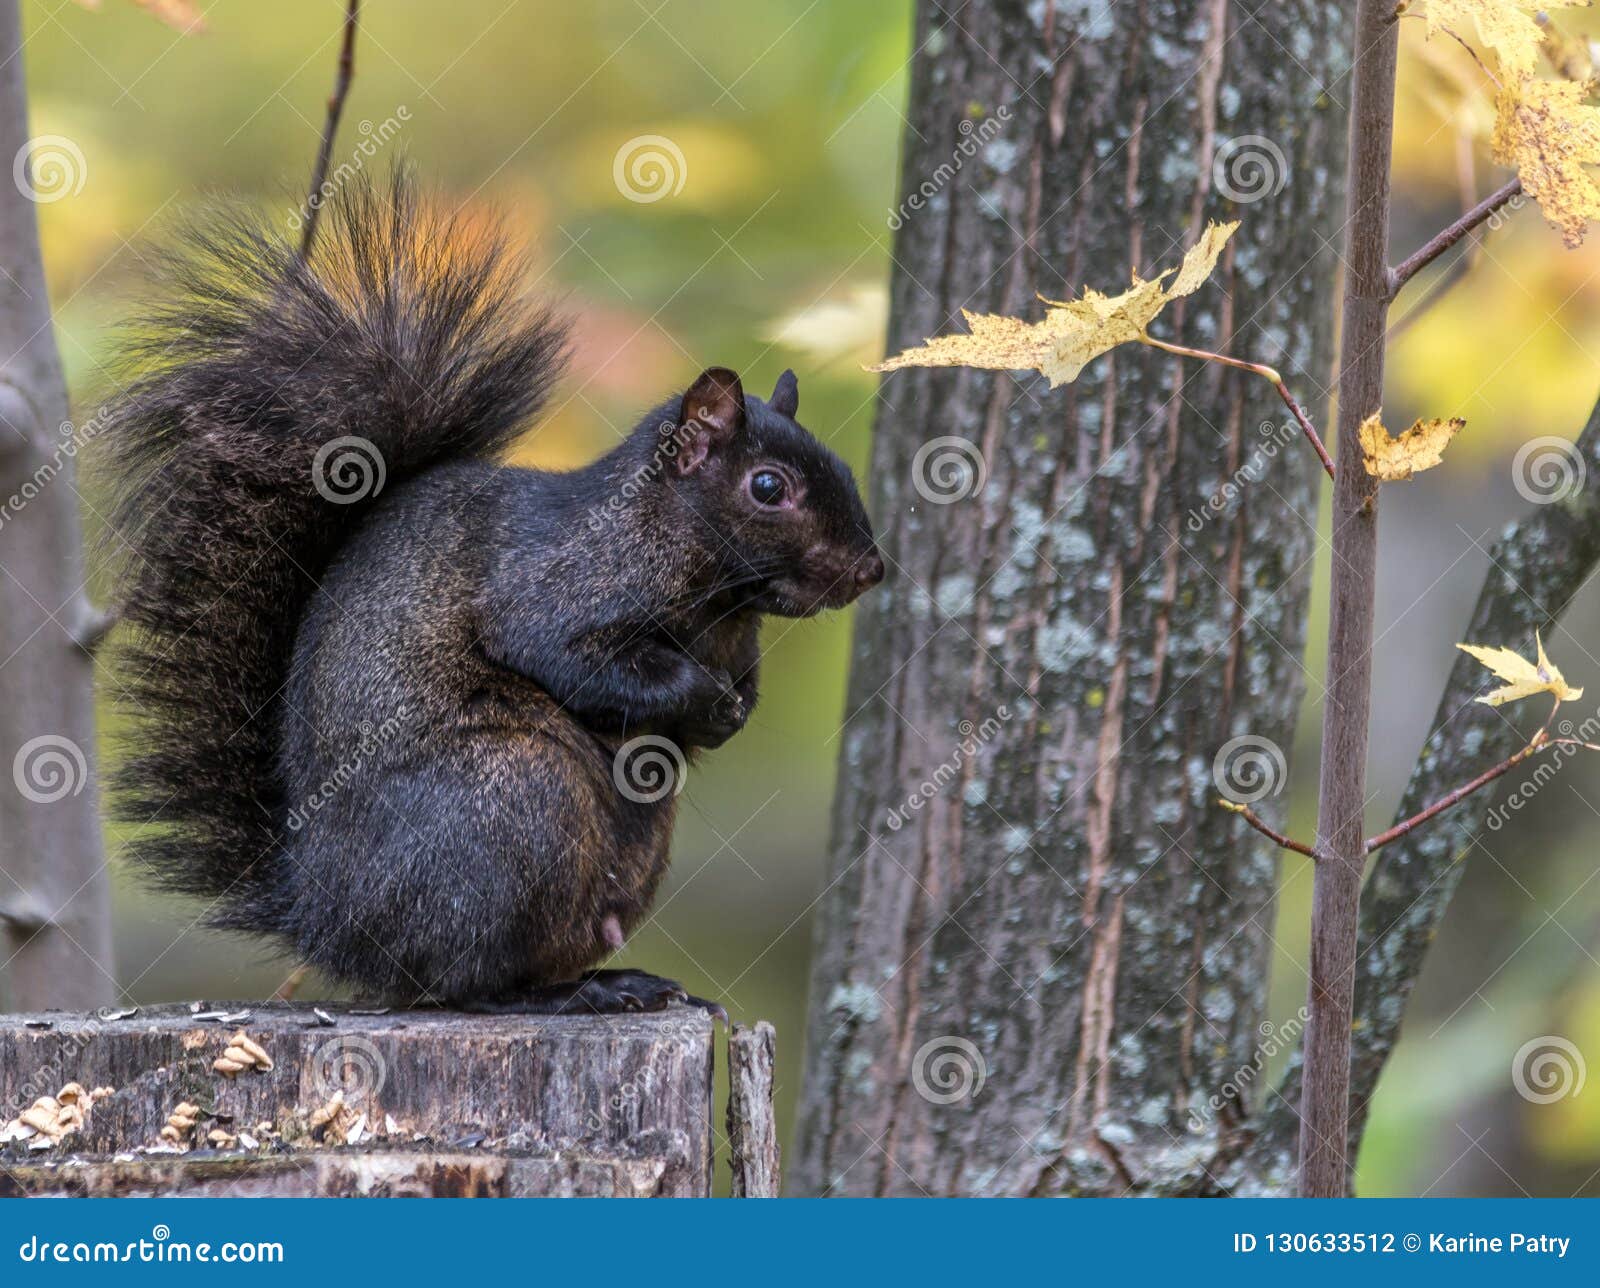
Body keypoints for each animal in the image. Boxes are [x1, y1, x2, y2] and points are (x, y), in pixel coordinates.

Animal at [100, 172, 884, 1017]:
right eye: (767, 487)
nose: (871, 568)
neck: (720, 602)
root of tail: (325, 920)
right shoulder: (552, 592)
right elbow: (575, 660)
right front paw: (704, 698)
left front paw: (731, 712)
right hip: (515, 801)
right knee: (462, 982)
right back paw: (564, 996)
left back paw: (611, 979)